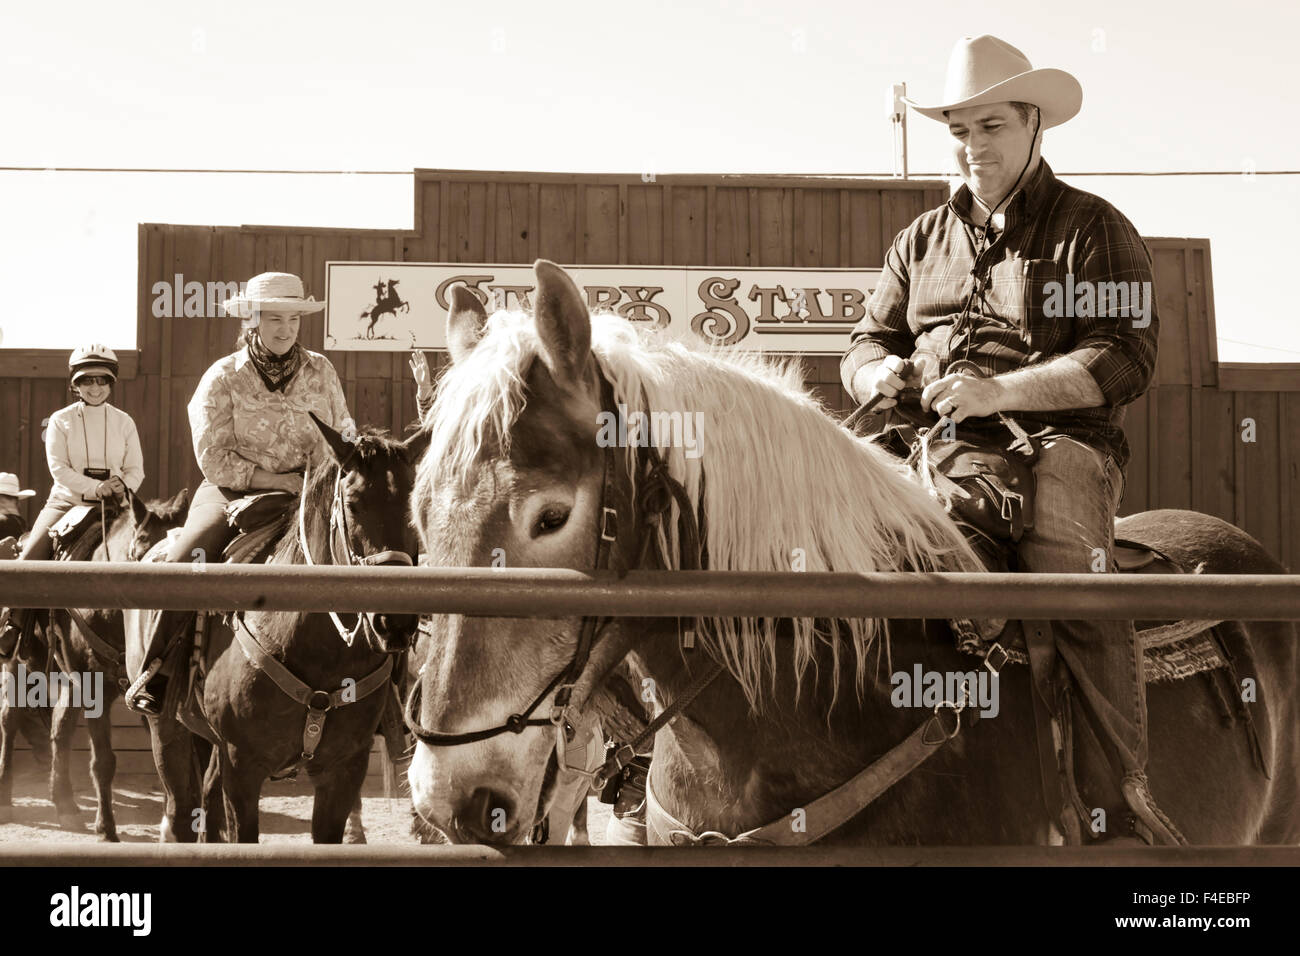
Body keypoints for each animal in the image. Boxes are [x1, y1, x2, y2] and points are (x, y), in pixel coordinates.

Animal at [137, 415, 426, 843]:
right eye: (353, 504)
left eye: (413, 509)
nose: (395, 620)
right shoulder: (242, 765)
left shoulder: (344, 769)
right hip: (167, 732)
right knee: (180, 811)